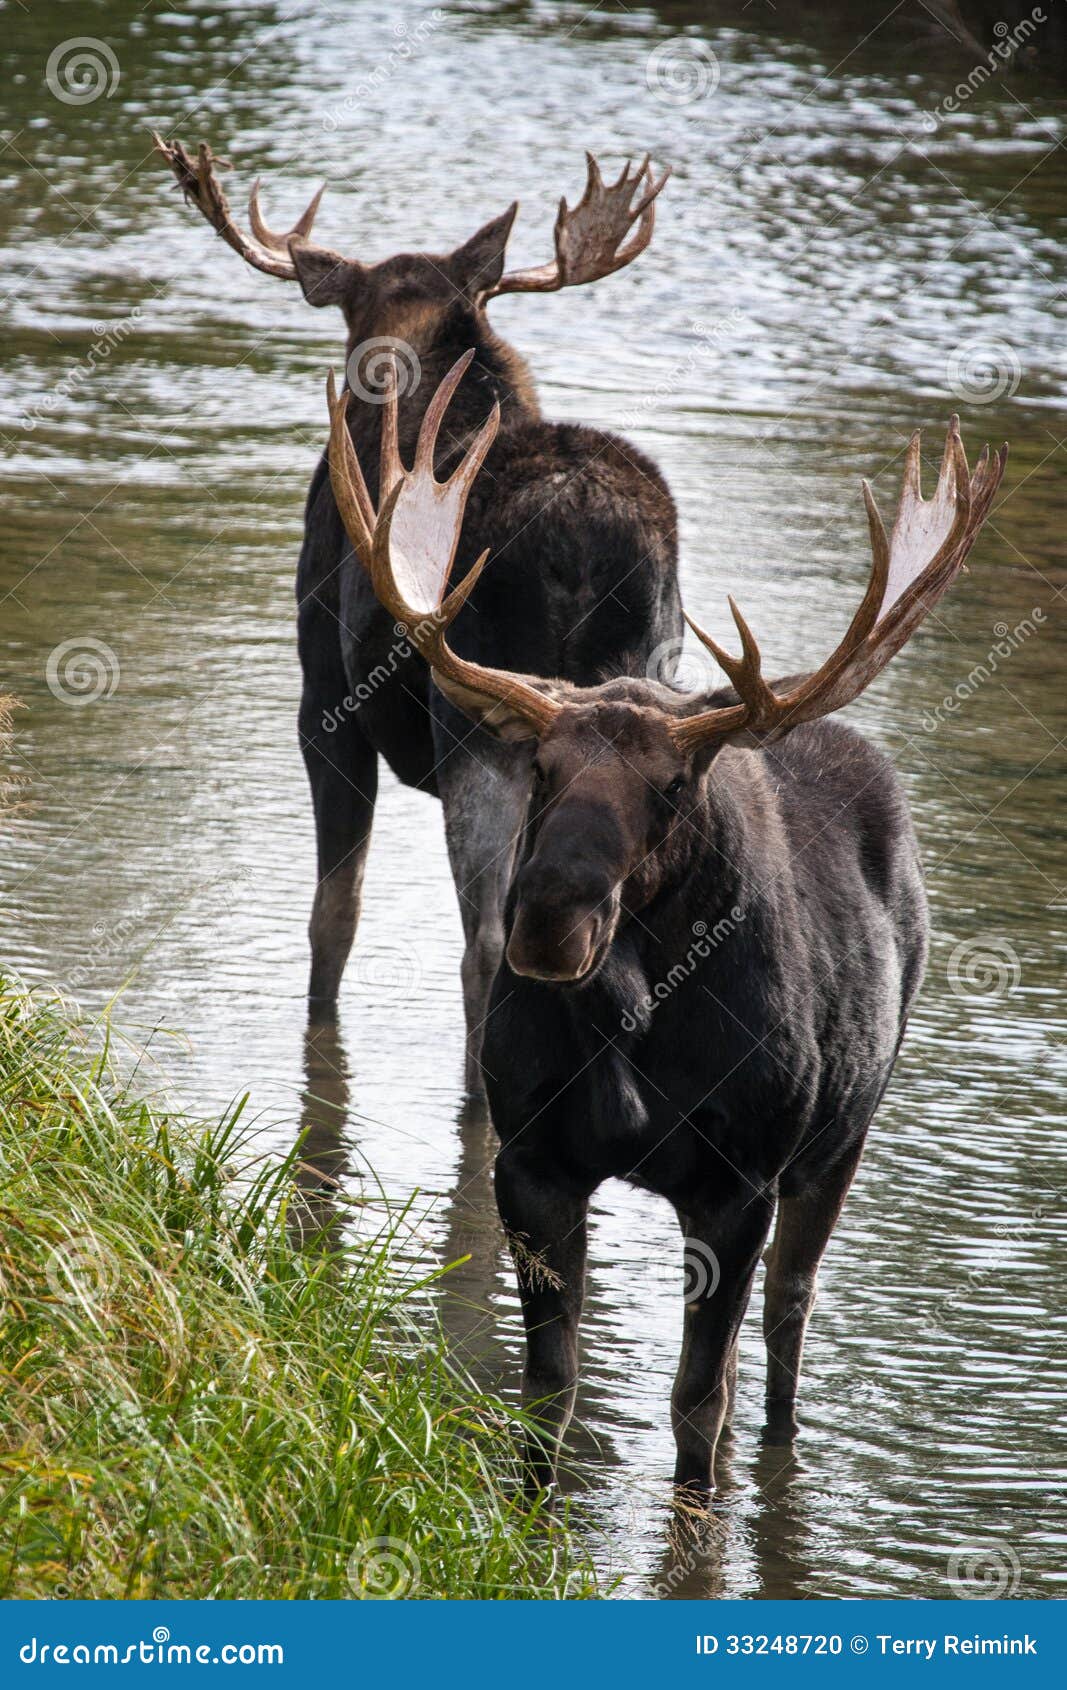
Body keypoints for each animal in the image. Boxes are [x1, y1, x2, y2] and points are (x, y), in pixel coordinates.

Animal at [325, 353, 1007, 1499]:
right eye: (540, 767)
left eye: (673, 786)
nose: (549, 919)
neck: (634, 1023)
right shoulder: (532, 1160)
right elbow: (547, 1395)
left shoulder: (739, 1183)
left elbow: (694, 1402)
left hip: (842, 1134)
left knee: (783, 1324)